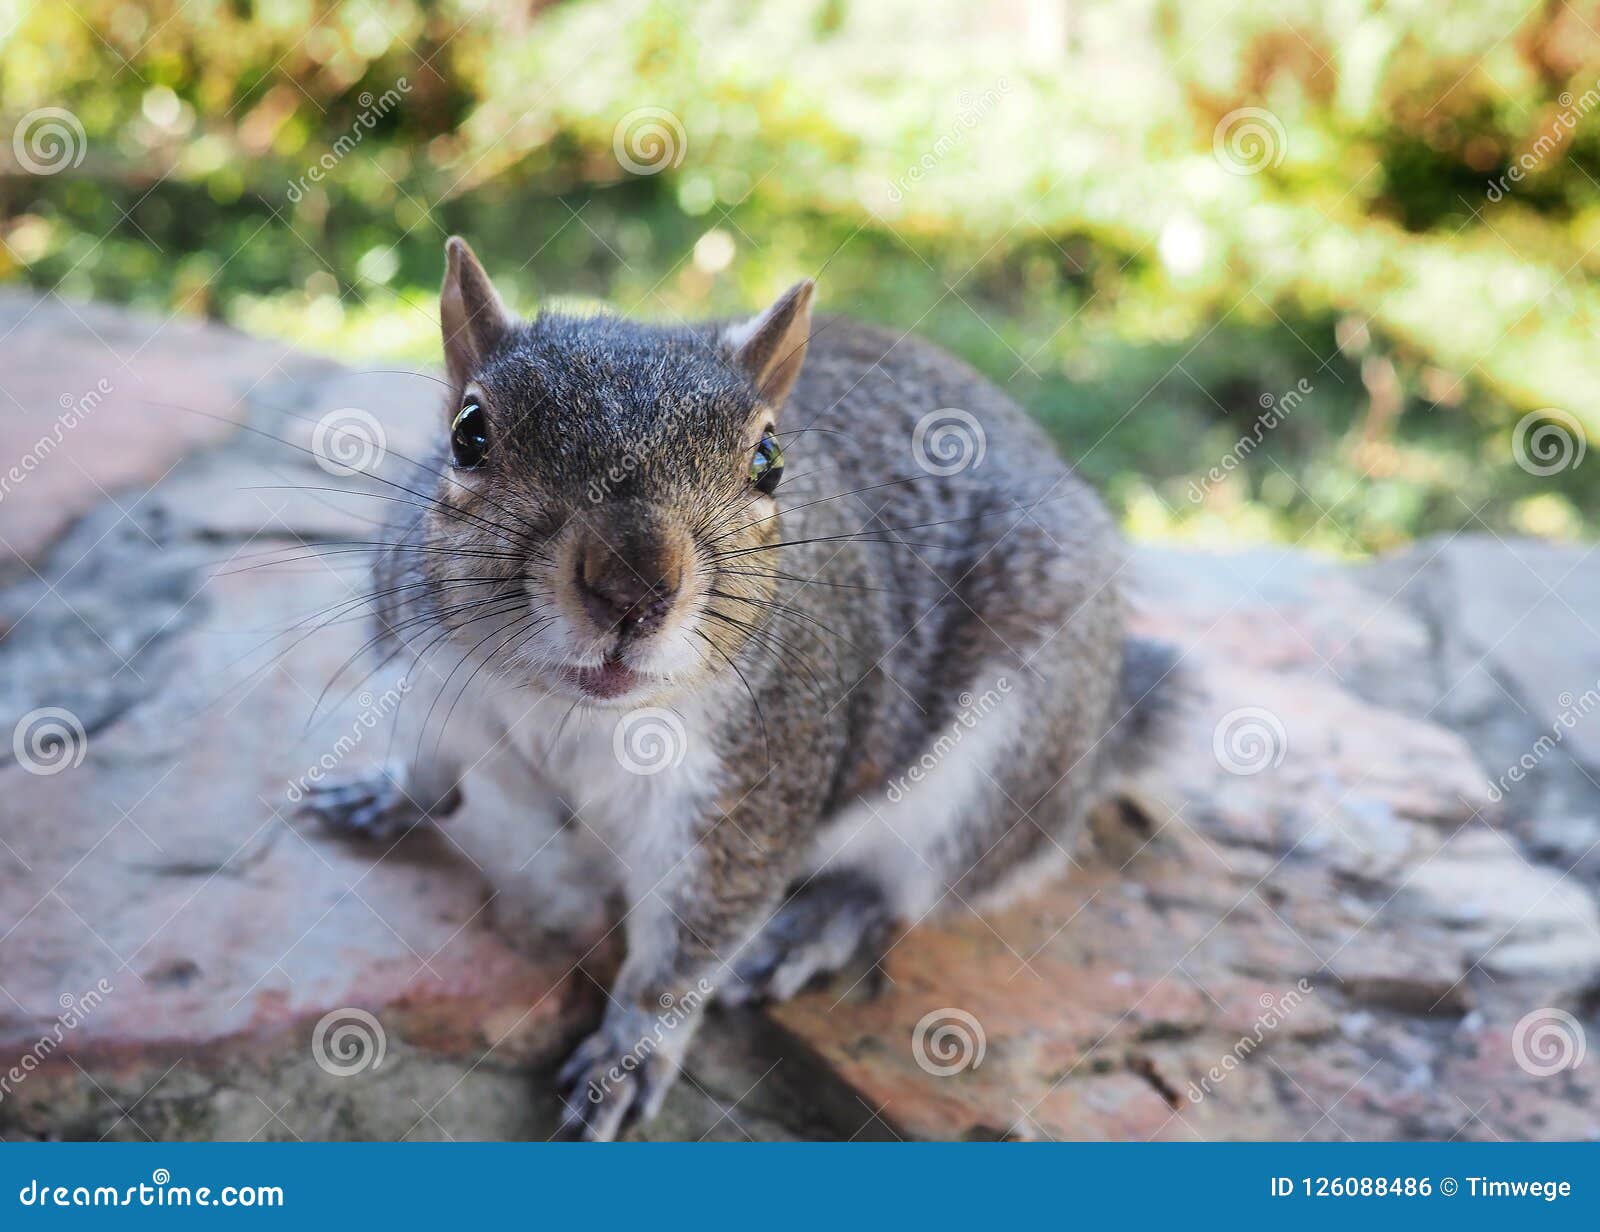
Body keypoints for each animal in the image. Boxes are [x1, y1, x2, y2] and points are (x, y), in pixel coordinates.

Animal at [299, 236, 1177, 1140]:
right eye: (469, 433)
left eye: (769, 461)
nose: (633, 585)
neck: (560, 710)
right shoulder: (423, 674)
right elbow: (430, 762)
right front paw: (387, 793)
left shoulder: (745, 796)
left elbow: (684, 954)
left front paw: (626, 1061)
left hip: (1007, 759)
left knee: (912, 883)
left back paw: (814, 925)